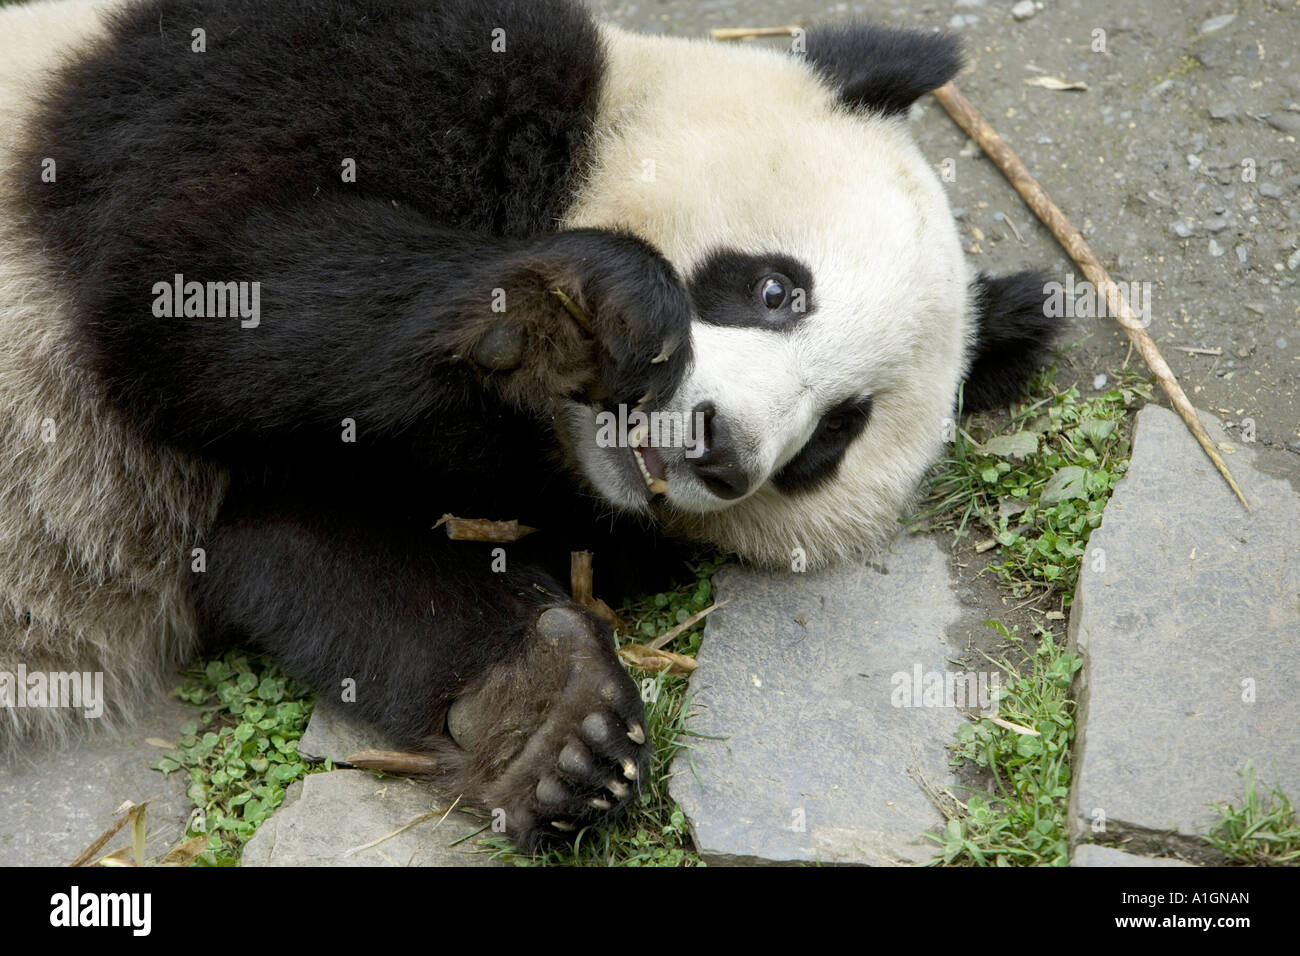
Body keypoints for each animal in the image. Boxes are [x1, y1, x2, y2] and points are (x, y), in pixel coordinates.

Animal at [0, 0, 1053, 847]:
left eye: (834, 436)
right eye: (775, 289)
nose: (720, 451)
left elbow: (280, 542)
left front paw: (554, 724)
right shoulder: (303, 62)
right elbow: (196, 272)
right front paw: (572, 311)